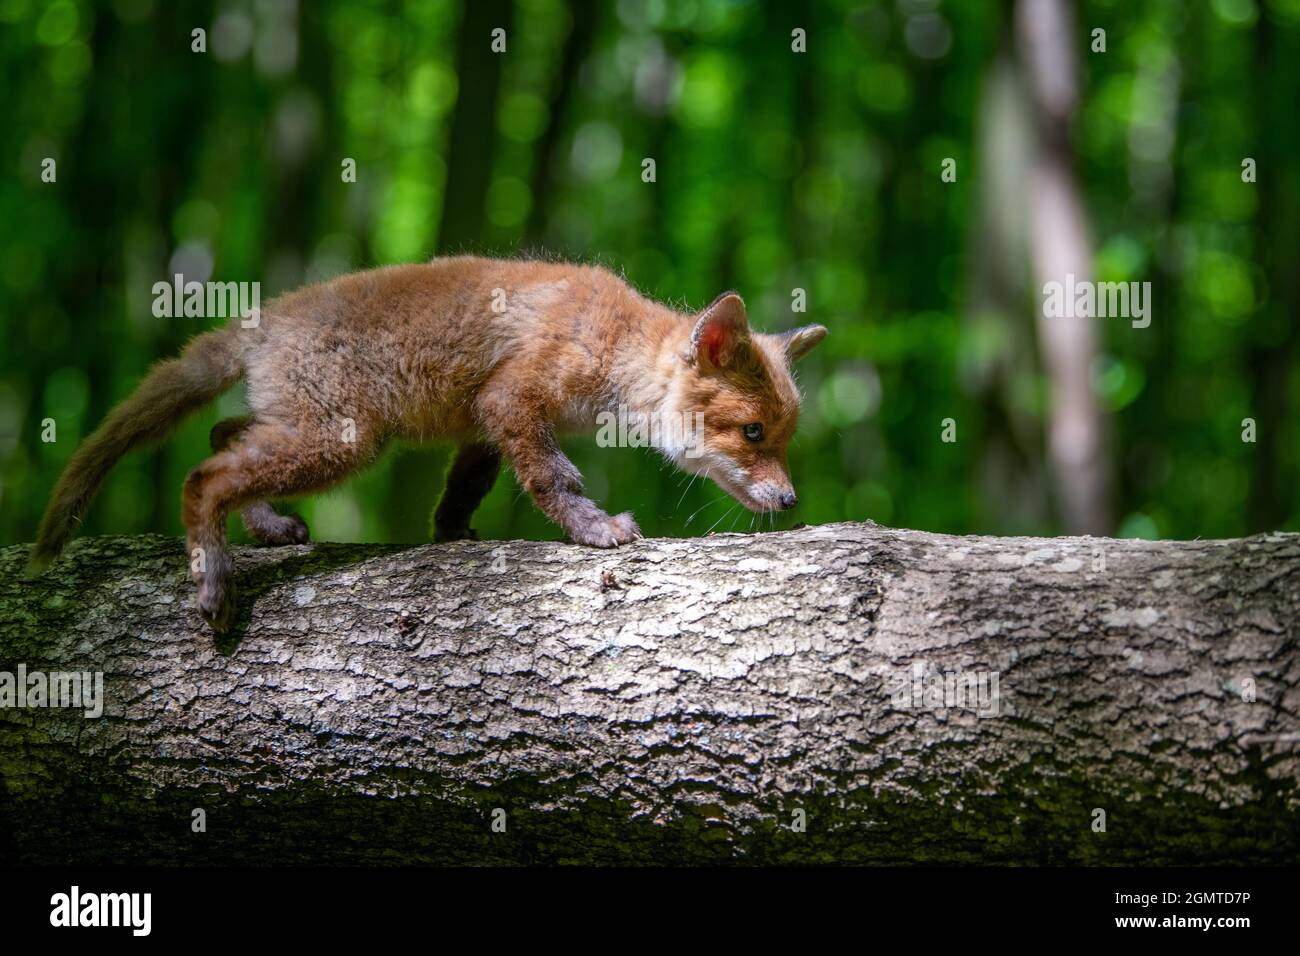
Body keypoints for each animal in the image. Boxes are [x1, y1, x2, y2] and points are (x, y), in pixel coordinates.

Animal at [27, 256, 827, 631]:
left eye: (786, 438)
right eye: (754, 432)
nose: (791, 501)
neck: (614, 344)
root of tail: (267, 316)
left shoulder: (483, 424)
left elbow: (463, 490)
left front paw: (450, 536)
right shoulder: (513, 400)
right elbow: (553, 479)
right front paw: (595, 530)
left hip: (306, 427)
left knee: (224, 437)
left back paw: (267, 527)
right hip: (340, 441)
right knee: (204, 475)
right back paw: (214, 577)